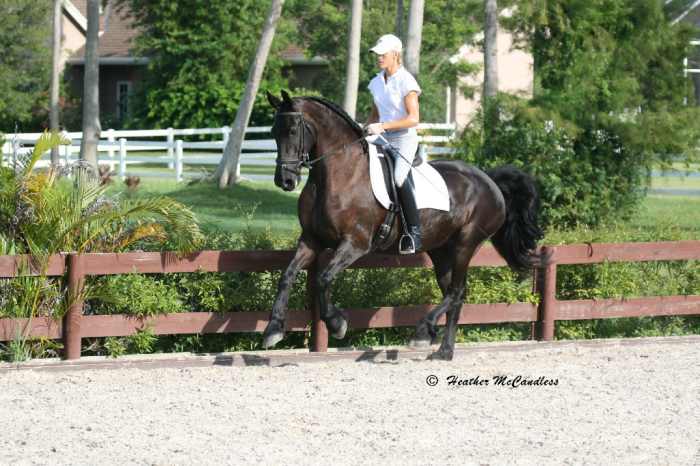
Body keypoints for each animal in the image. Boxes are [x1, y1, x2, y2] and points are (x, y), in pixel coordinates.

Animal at [262, 90, 543, 360]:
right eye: (273, 133)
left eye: (292, 130)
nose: (284, 181)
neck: (338, 173)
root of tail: (489, 179)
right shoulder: (311, 240)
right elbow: (287, 275)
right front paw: (273, 329)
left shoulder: (355, 243)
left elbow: (323, 278)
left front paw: (336, 323)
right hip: (441, 250)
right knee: (455, 293)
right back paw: (444, 350)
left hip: (466, 243)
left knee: (455, 291)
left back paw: (423, 331)